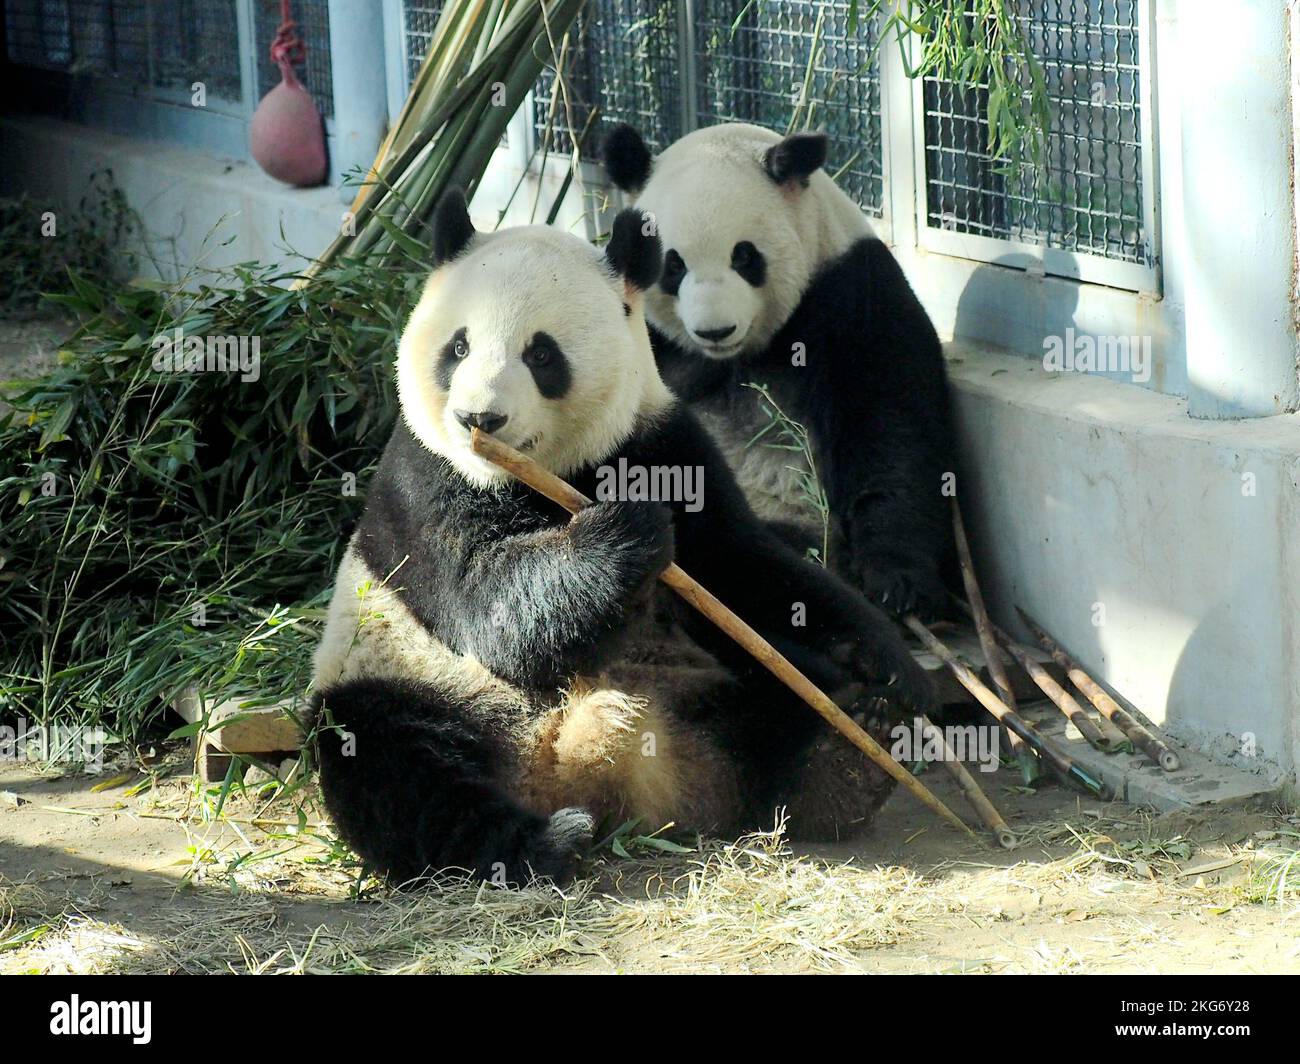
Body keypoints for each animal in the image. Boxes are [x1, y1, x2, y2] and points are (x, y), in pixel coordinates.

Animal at [310, 190, 937, 885]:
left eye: (541, 354)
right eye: (459, 346)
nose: (479, 418)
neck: (539, 473)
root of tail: (570, 769)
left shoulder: (664, 442)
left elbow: (745, 568)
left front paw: (891, 664)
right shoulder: (421, 477)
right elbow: (484, 603)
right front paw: (623, 532)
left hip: (704, 678)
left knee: (780, 690)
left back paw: (850, 755)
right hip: (412, 678)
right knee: (391, 765)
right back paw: (536, 845)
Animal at [602, 122, 955, 620]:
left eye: (743, 256)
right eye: (673, 265)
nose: (715, 330)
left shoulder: (851, 291)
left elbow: (892, 428)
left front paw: (900, 583)